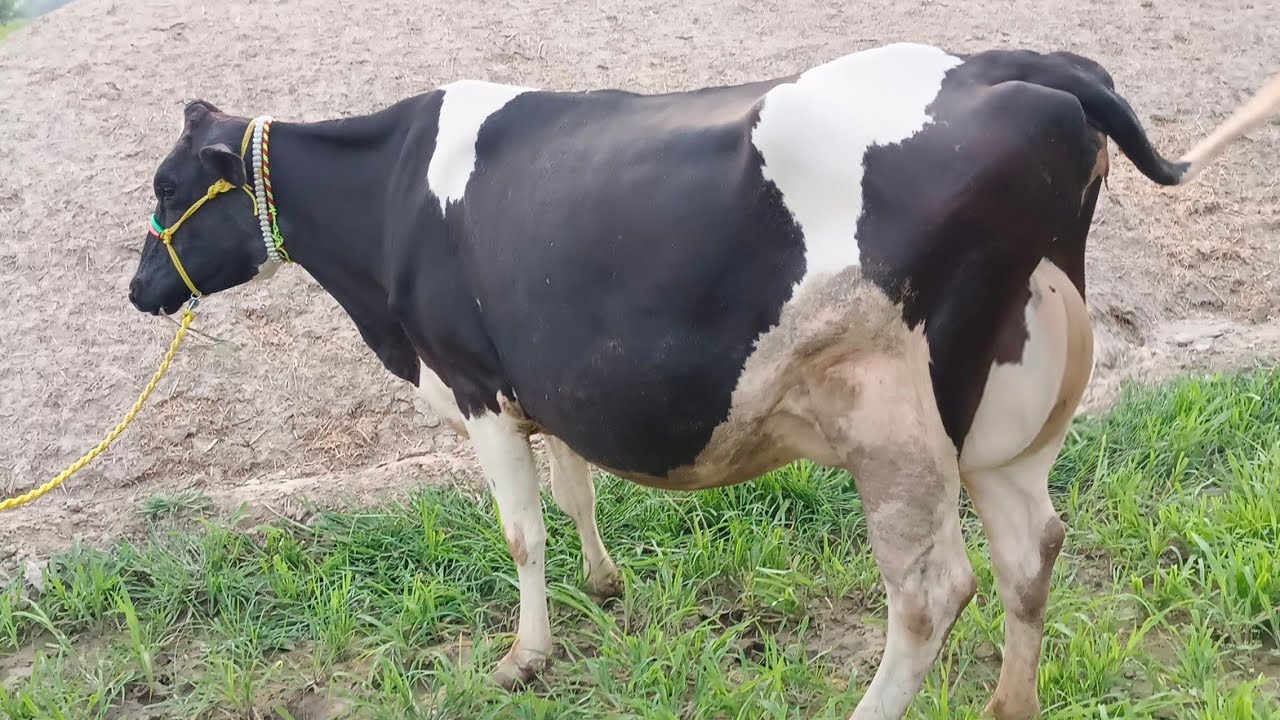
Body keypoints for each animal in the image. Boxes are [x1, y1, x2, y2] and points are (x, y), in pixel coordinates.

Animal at [126, 42, 1279, 719]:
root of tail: (1014, 63)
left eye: (170, 187)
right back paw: (1010, 707)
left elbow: (520, 530)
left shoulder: (471, 380)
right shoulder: (541, 378)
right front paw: (604, 586)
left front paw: (525, 658)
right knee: (1030, 548)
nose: (140, 289)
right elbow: (576, 491)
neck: (386, 209)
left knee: (931, 590)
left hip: (894, 413)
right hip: (1006, 399)